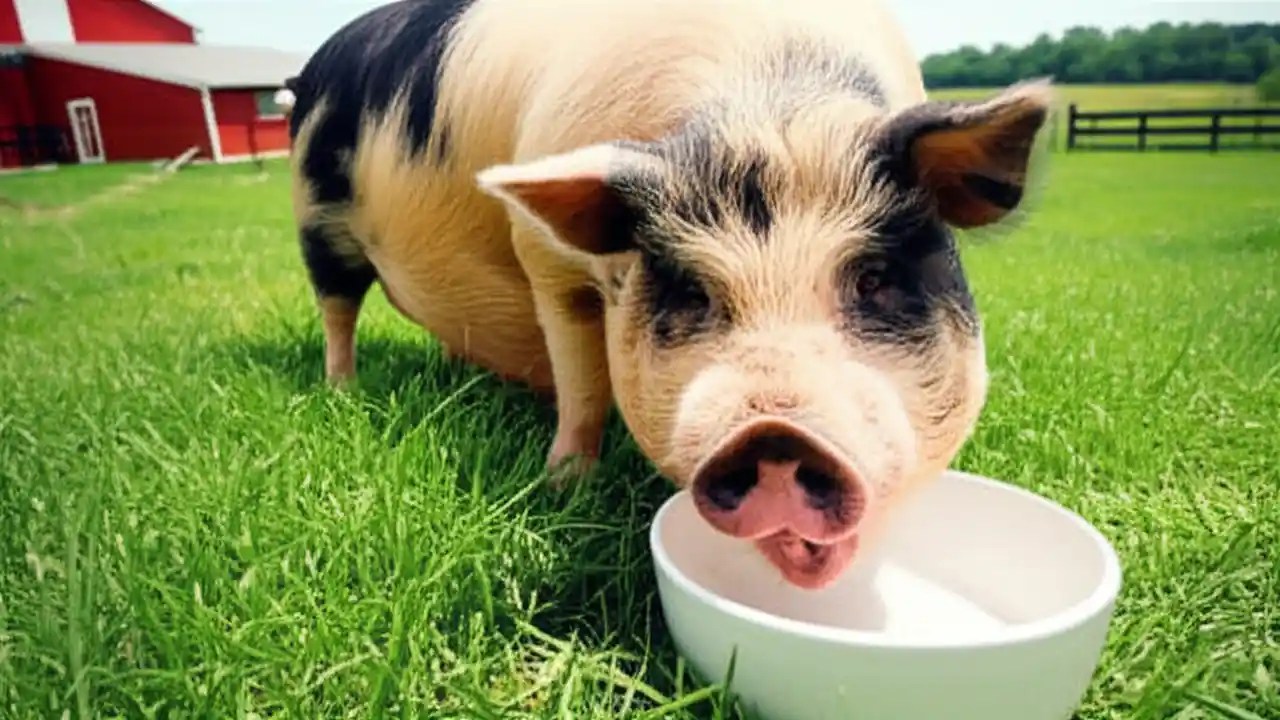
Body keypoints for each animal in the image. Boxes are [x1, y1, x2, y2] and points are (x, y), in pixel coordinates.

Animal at [286, 0, 1052, 589]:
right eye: (692, 292)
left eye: (876, 280)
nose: (776, 434)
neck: (766, 100)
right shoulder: (546, 263)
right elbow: (582, 382)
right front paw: (566, 485)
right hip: (318, 220)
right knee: (337, 308)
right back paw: (342, 391)